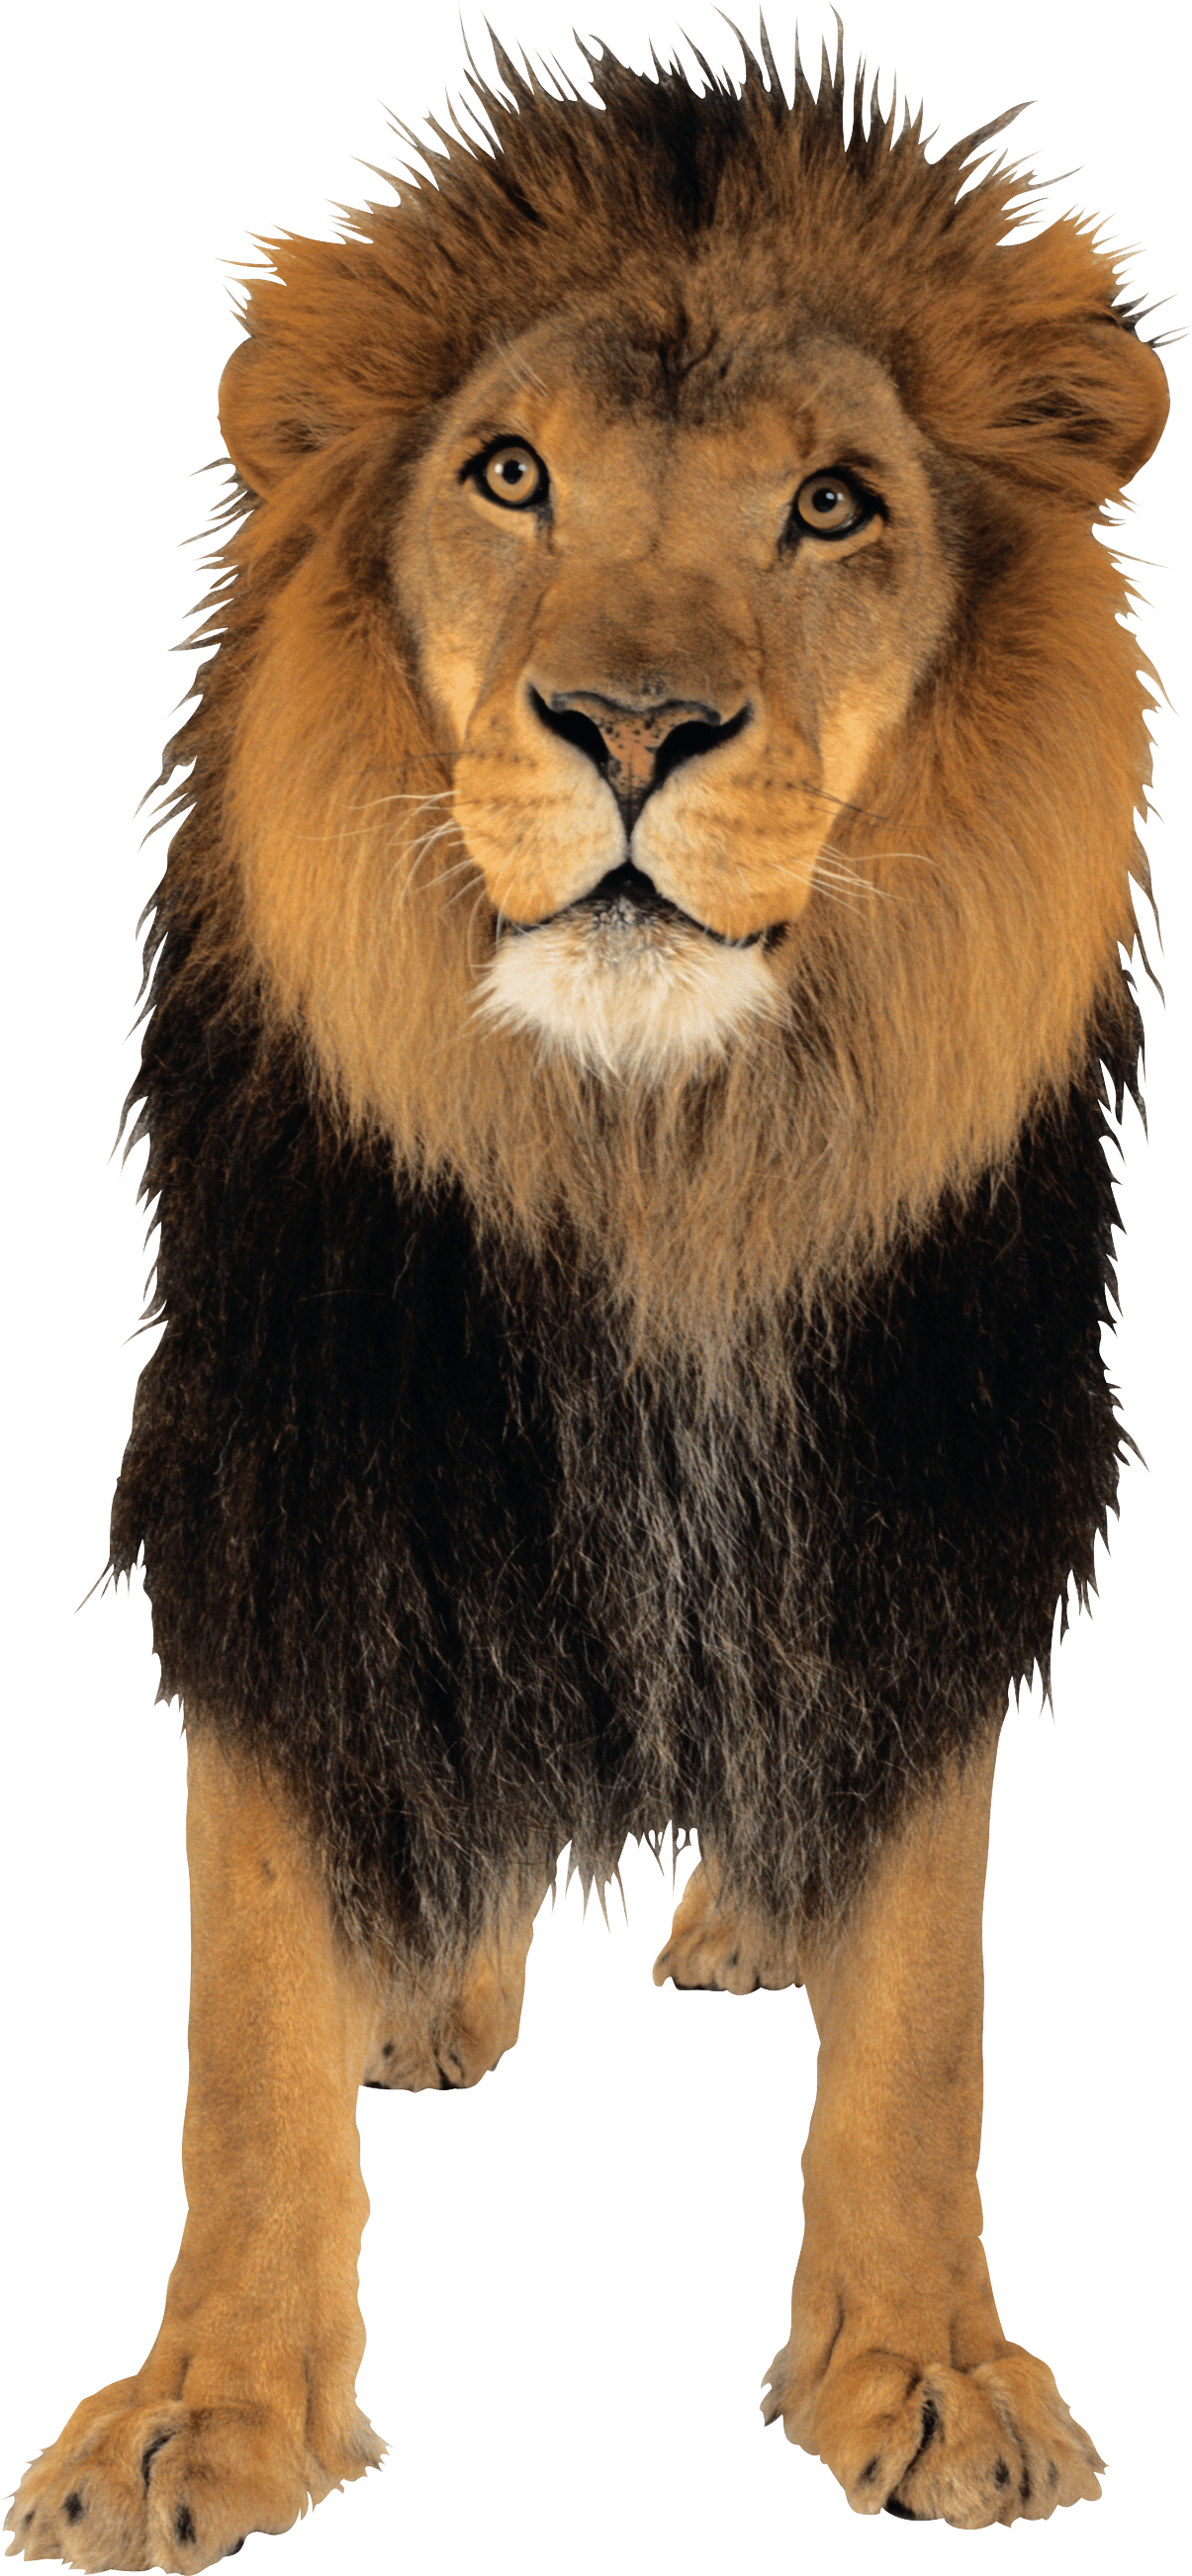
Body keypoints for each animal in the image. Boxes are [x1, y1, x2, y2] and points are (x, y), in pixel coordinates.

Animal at [6, 9, 1174, 2562]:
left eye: (829, 505)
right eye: (509, 476)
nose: (632, 727)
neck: (653, 1152)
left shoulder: (908, 1468)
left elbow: (920, 2004)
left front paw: (922, 2367)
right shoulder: (305, 1468)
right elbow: (247, 2004)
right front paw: (207, 2410)